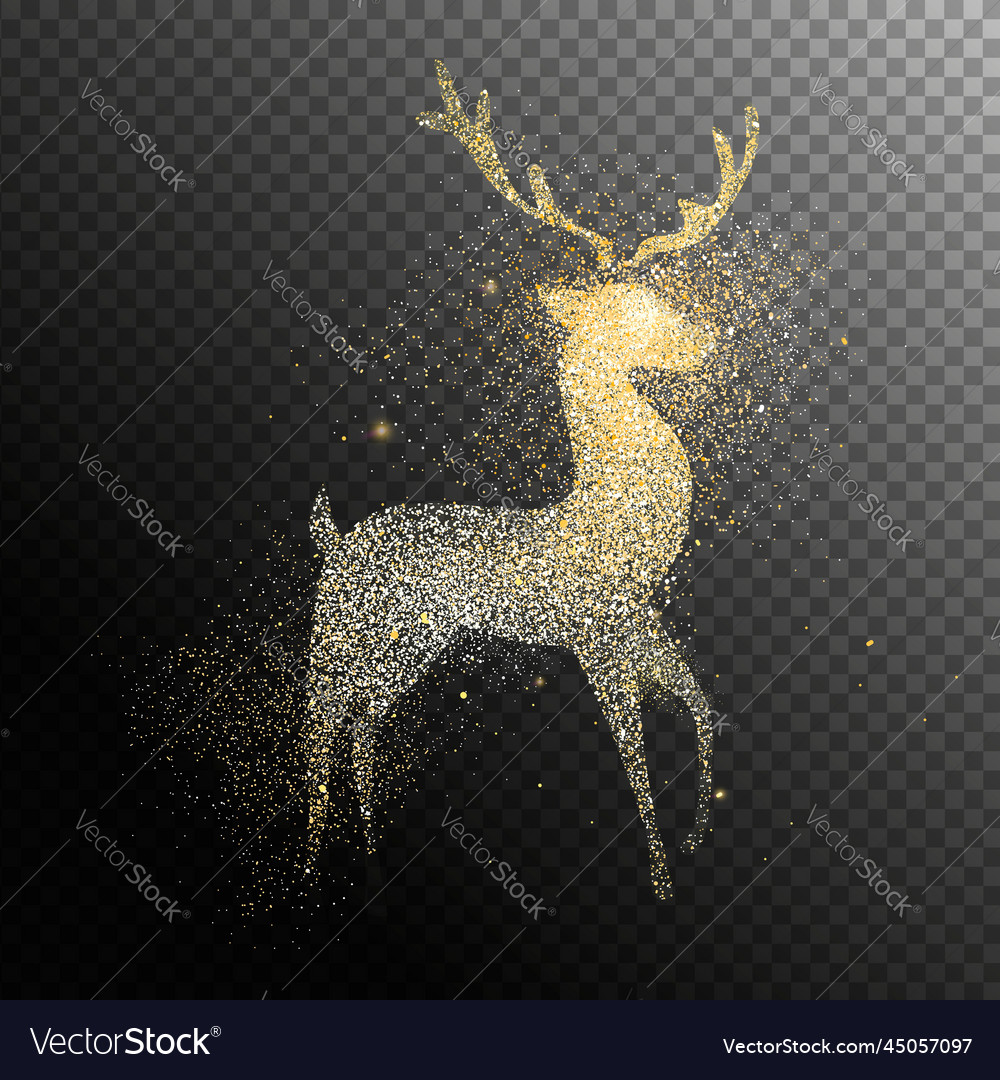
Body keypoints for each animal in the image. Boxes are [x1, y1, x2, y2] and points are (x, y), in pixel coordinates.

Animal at [303, 61, 759, 900]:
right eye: (626, 309)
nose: (710, 338)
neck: (617, 520)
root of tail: (334, 540)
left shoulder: (641, 623)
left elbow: (701, 704)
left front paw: (699, 836)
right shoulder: (592, 635)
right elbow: (634, 757)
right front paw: (661, 878)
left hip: (406, 640)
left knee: (361, 721)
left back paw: (371, 846)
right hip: (357, 629)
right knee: (322, 720)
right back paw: (321, 861)